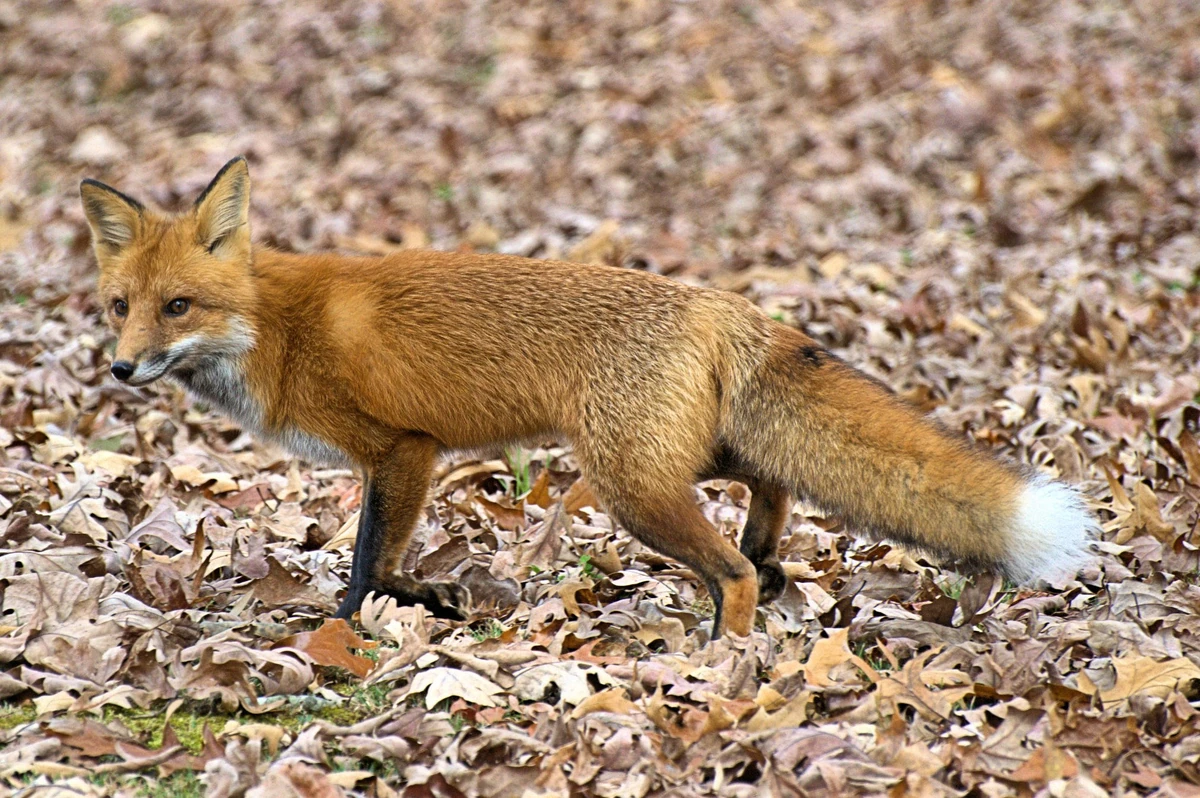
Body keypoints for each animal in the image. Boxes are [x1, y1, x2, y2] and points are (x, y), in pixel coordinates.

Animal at [79, 157, 1097, 637]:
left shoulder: (401, 450)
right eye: (121, 307)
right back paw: (768, 555)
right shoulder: (410, 463)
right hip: (660, 459)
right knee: (769, 482)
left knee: (727, 565)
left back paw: (725, 652)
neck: (273, 328)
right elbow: (394, 563)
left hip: (629, 485)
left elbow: (368, 563)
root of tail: (717, 300)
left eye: (178, 306)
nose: (122, 370)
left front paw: (345, 631)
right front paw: (431, 601)